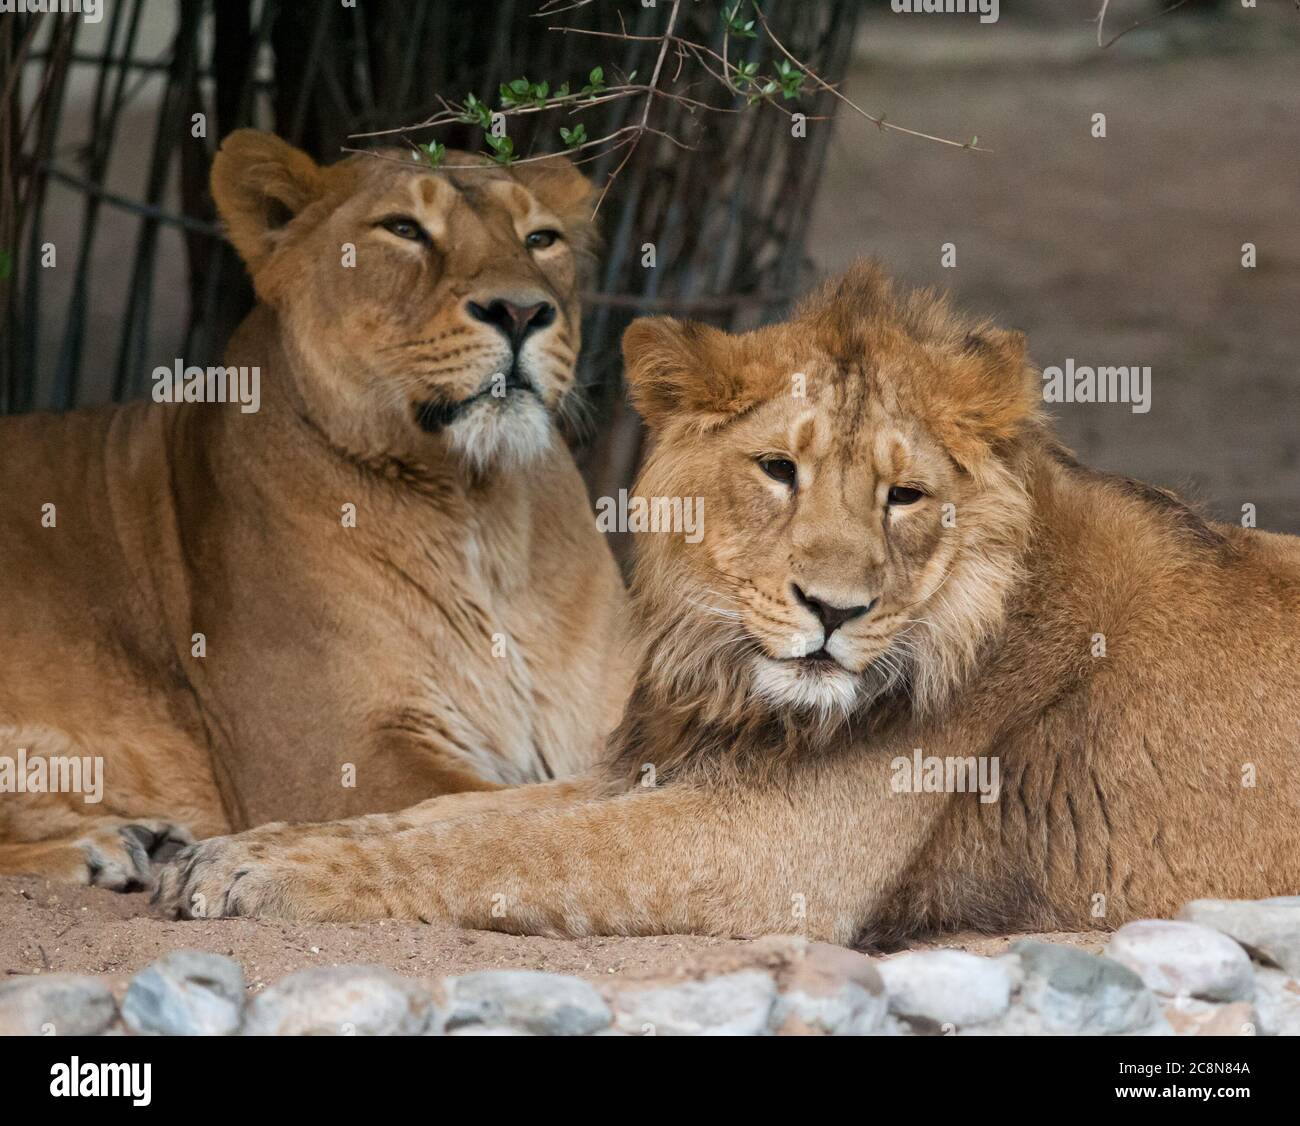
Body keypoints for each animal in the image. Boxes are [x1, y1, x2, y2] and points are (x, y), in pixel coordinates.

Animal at [0, 130, 630, 890]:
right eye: (403, 229)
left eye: (541, 239)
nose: (521, 311)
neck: (479, 508)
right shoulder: (336, 759)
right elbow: (518, 804)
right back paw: (97, 846)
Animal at [155, 260, 1300, 945]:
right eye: (777, 470)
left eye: (904, 495)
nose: (833, 610)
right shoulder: (676, 766)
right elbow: (453, 814)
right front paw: (237, 849)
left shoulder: (766, 855)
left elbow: (508, 850)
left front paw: (260, 877)